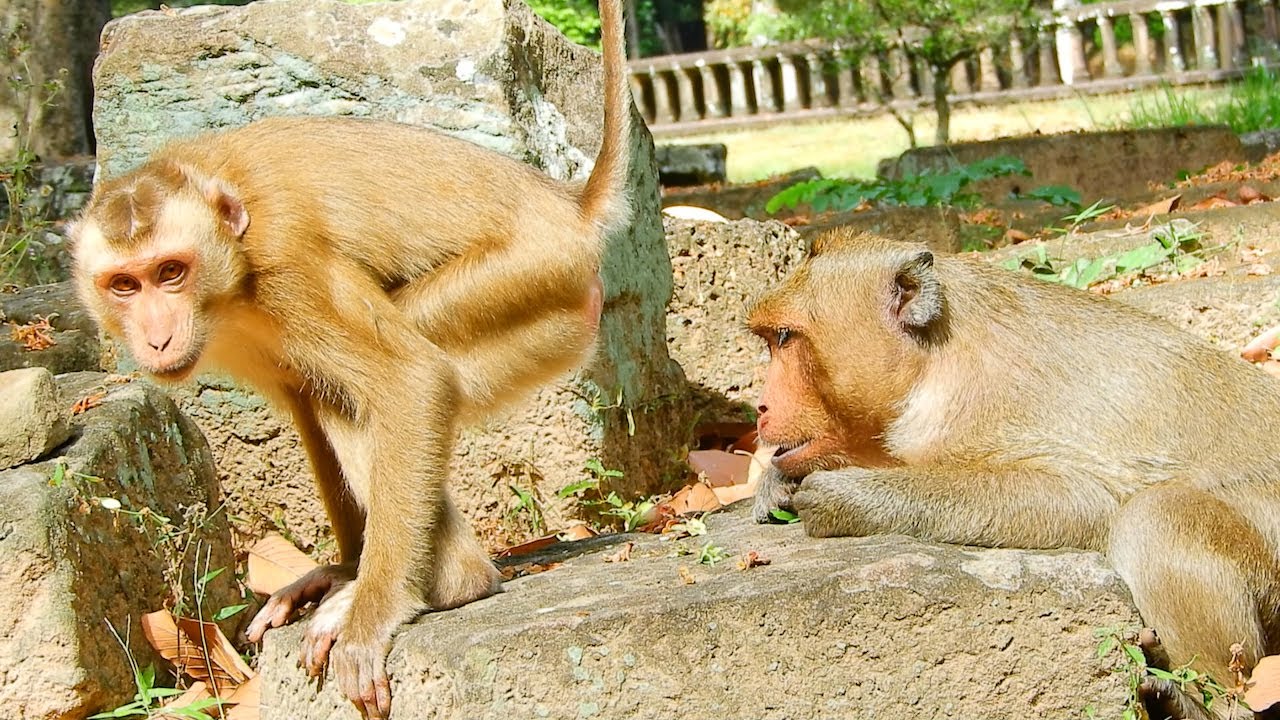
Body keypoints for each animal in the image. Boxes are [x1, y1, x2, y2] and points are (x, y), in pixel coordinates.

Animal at [68, 0, 629, 716]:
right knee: (329, 393)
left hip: (531, 287)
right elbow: (302, 400)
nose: (158, 337)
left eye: (171, 272)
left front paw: (370, 614)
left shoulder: (289, 266)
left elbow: (410, 381)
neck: (232, 271)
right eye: (124, 284)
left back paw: (450, 585)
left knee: (390, 380)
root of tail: (570, 211)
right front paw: (339, 569)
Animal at [748, 228, 1280, 719]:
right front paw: (777, 484)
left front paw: (844, 496)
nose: (760, 408)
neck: (937, 363)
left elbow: (1087, 499)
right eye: (772, 340)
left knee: (1158, 515)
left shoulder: (994, 405)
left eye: (785, 338)